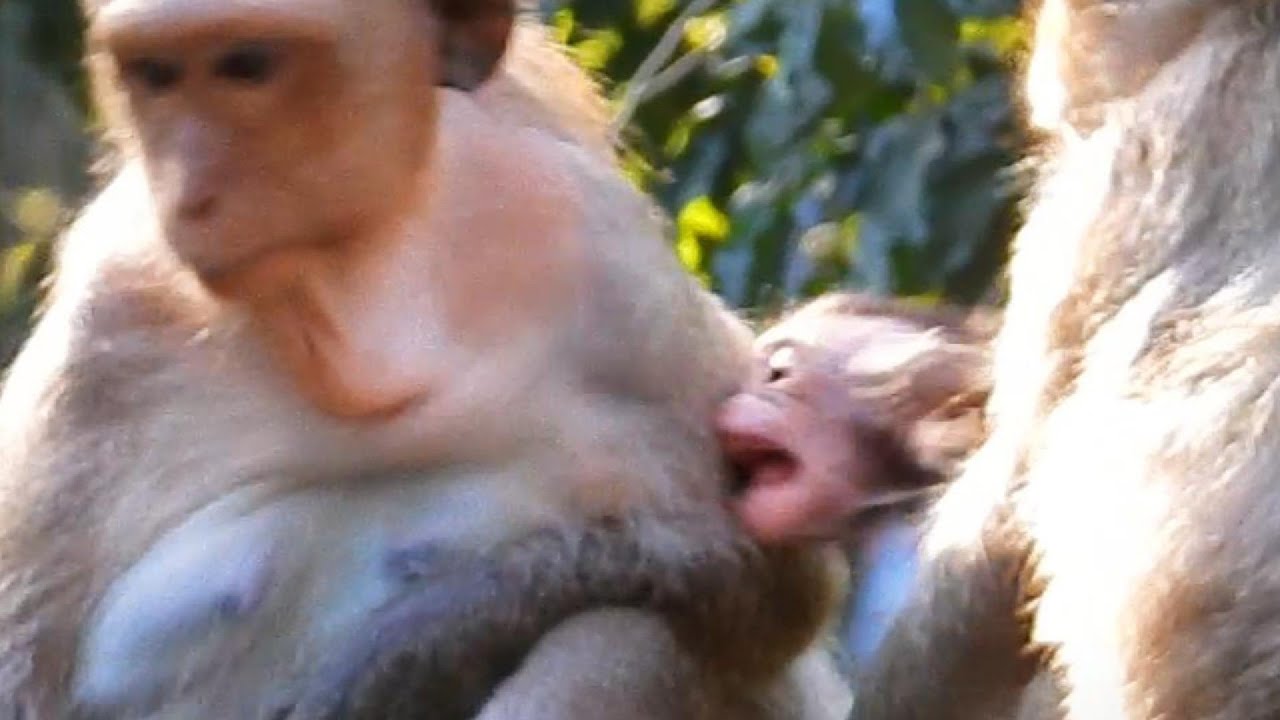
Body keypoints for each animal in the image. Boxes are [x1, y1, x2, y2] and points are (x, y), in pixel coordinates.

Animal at [0, 1, 850, 718]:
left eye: (247, 66)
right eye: (158, 74)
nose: (193, 194)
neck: (358, 303)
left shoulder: (602, 257)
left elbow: (769, 573)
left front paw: (403, 652)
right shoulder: (109, 325)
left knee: (630, 630)